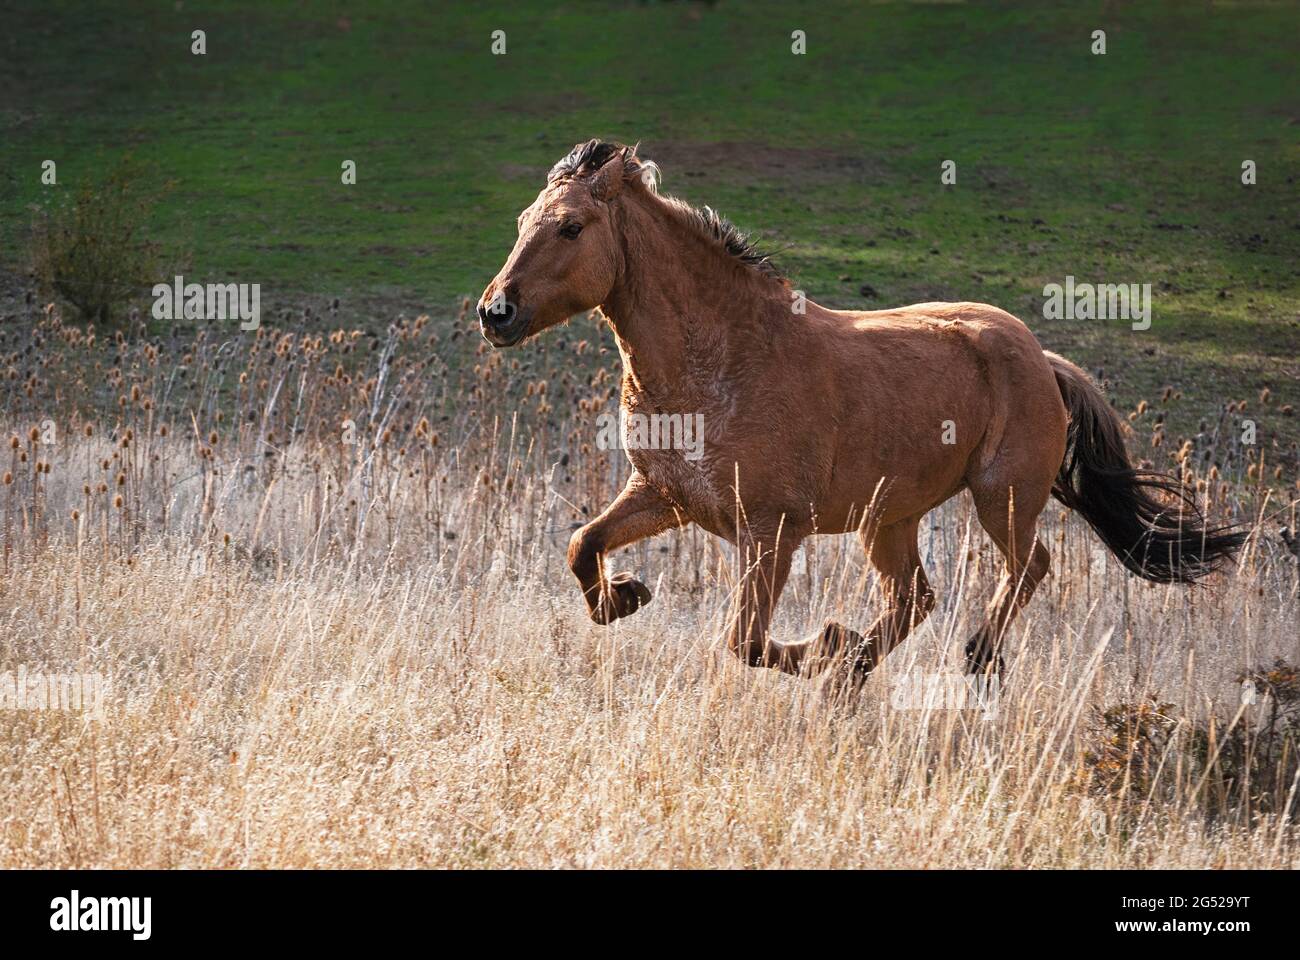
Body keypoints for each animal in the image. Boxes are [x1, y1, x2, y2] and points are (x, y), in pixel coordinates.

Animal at [476, 139, 1245, 681]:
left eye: (572, 228)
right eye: (520, 222)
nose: (495, 312)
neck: (721, 361)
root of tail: (1041, 358)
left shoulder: (772, 530)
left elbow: (743, 641)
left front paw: (823, 643)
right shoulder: (665, 495)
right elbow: (583, 544)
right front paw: (627, 596)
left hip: (1001, 496)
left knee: (1028, 567)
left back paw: (969, 655)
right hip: (891, 518)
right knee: (916, 598)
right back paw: (858, 668)